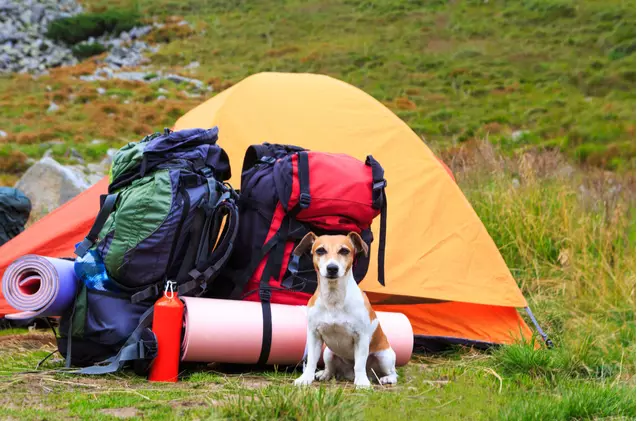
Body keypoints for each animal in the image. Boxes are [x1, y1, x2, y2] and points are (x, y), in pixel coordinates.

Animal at [290, 230, 396, 388]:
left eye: (344, 251)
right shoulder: (314, 335)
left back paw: (386, 378)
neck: (333, 298)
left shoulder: (361, 337)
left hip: (385, 358)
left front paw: (362, 382)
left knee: (393, 373)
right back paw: (324, 374)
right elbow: (311, 362)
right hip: (328, 353)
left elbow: (360, 364)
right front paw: (305, 378)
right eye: (320, 250)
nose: (332, 268)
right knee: (330, 368)